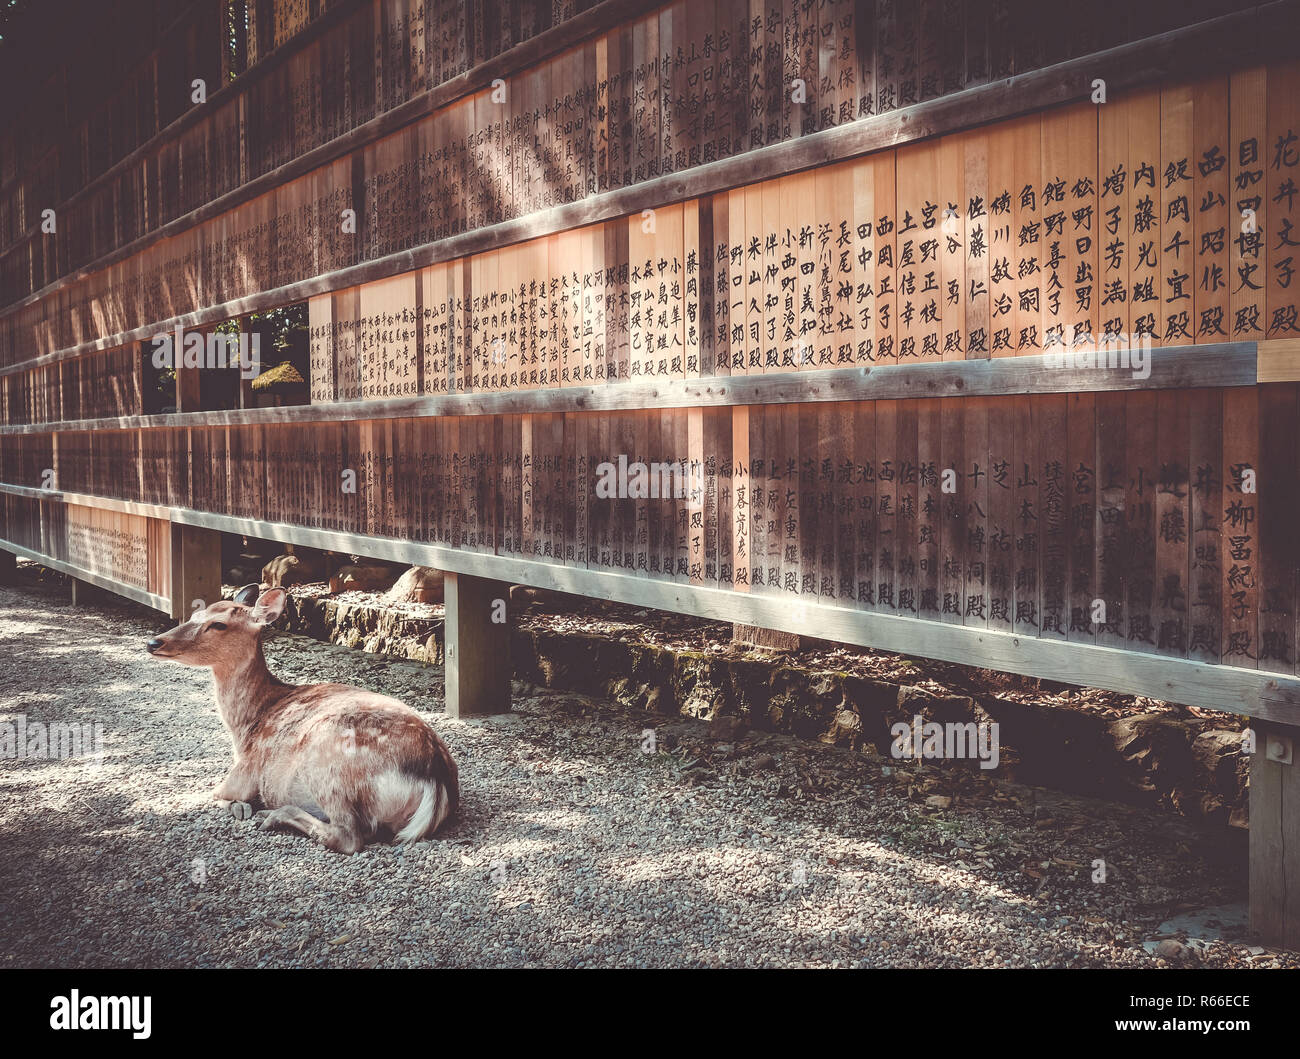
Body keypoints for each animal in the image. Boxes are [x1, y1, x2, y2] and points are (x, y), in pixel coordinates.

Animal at [146, 583, 458, 854]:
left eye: (219, 624)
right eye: (195, 615)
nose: (153, 642)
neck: (246, 727)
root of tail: (434, 778)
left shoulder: (242, 773)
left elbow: (219, 796)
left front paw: (242, 808)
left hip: (327, 768)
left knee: (348, 836)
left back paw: (271, 815)